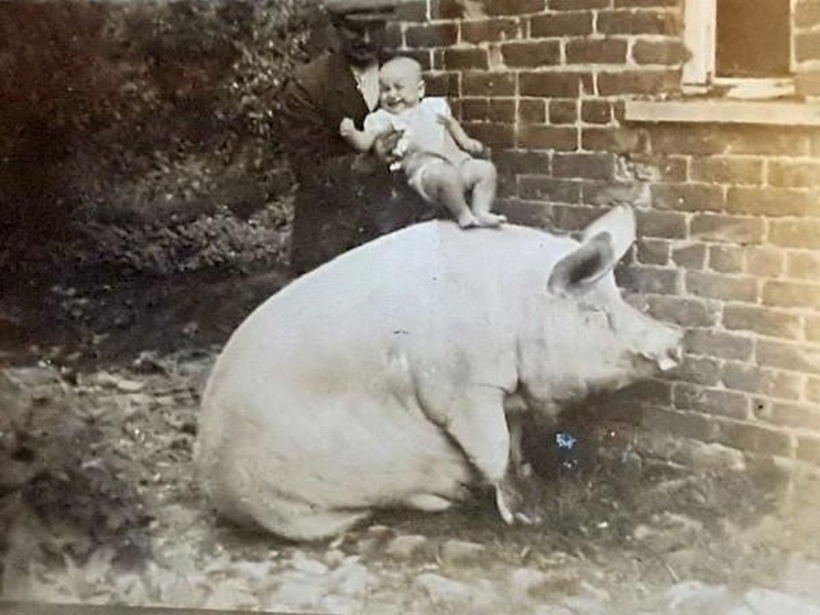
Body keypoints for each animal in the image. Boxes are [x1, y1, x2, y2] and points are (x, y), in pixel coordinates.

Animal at [194, 205, 682, 541]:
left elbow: (515, 438)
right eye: (595, 313)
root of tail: (214, 483)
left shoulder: (506, 391)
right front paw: (525, 515)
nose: (676, 338)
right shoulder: (466, 391)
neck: (518, 309)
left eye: (619, 296)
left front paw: (528, 474)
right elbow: (493, 451)